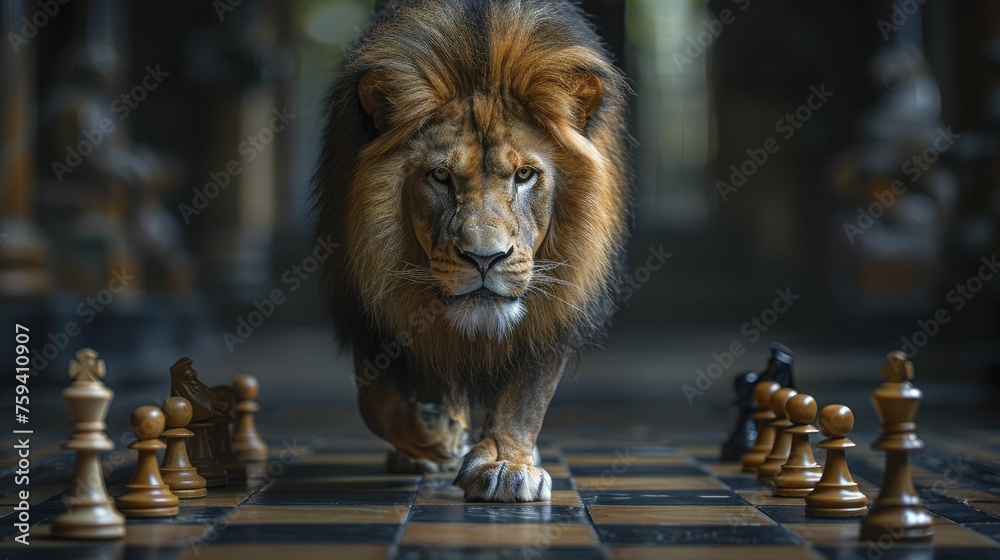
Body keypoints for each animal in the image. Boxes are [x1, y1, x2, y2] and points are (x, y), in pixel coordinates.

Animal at [313, 0, 631, 502]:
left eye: (525, 175)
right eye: (441, 176)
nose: (485, 259)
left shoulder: (557, 303)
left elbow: (526, 395)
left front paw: (505, 463)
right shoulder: (363, 299)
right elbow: (376, 400)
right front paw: (436, 438)